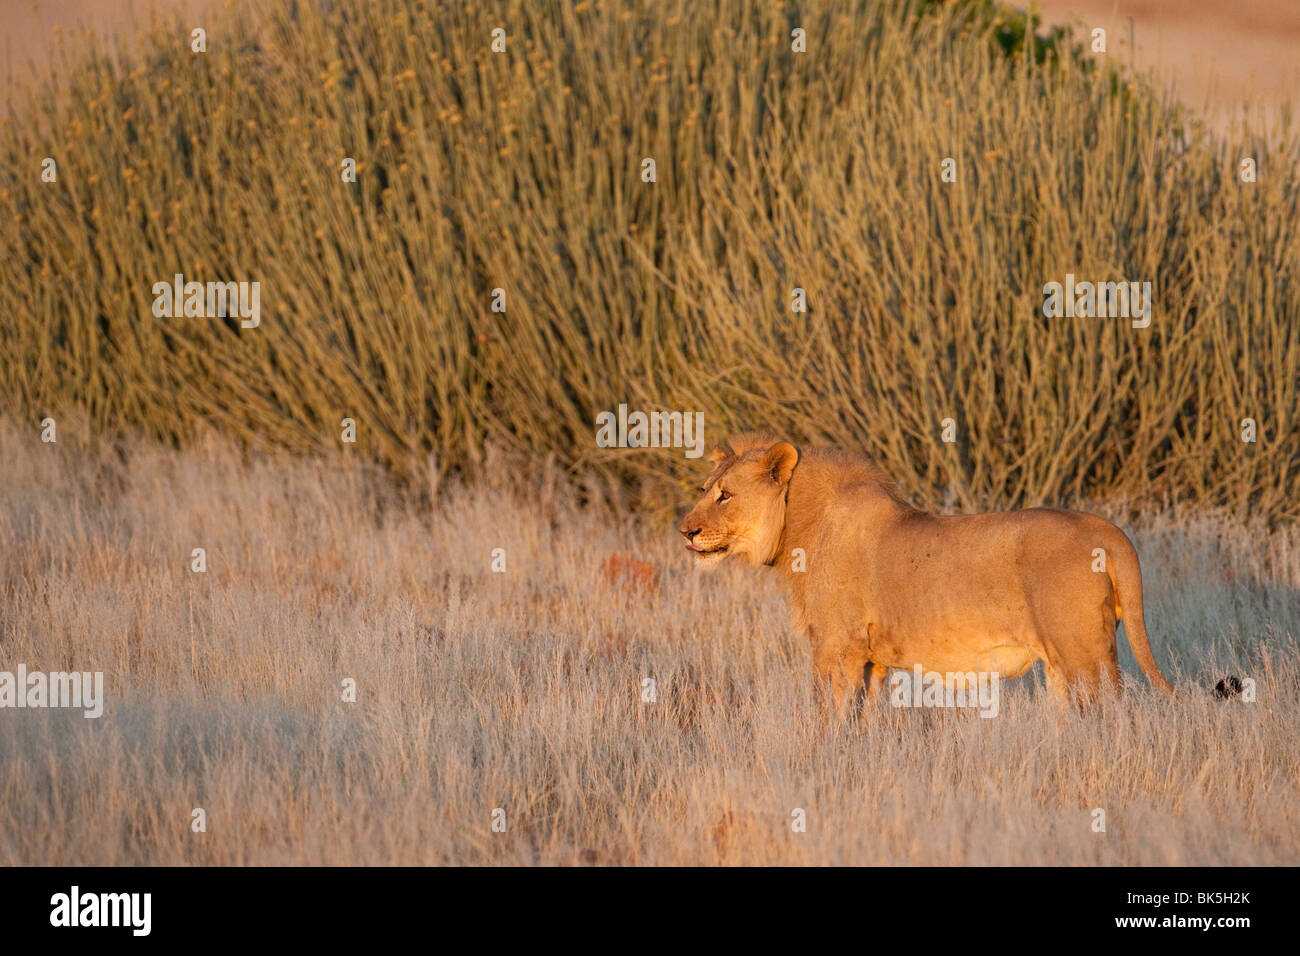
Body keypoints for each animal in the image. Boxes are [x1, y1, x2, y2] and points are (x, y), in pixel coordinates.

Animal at [678, 432, 1174, 716]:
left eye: (725, 495)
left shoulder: (835, 645)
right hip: (1061, 663)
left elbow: (828, 716)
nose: (686, 531)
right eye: (704, 489)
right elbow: (863, 717)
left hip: (1084, 655)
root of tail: (1108, 531)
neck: (799, 526)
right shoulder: (872, 658)